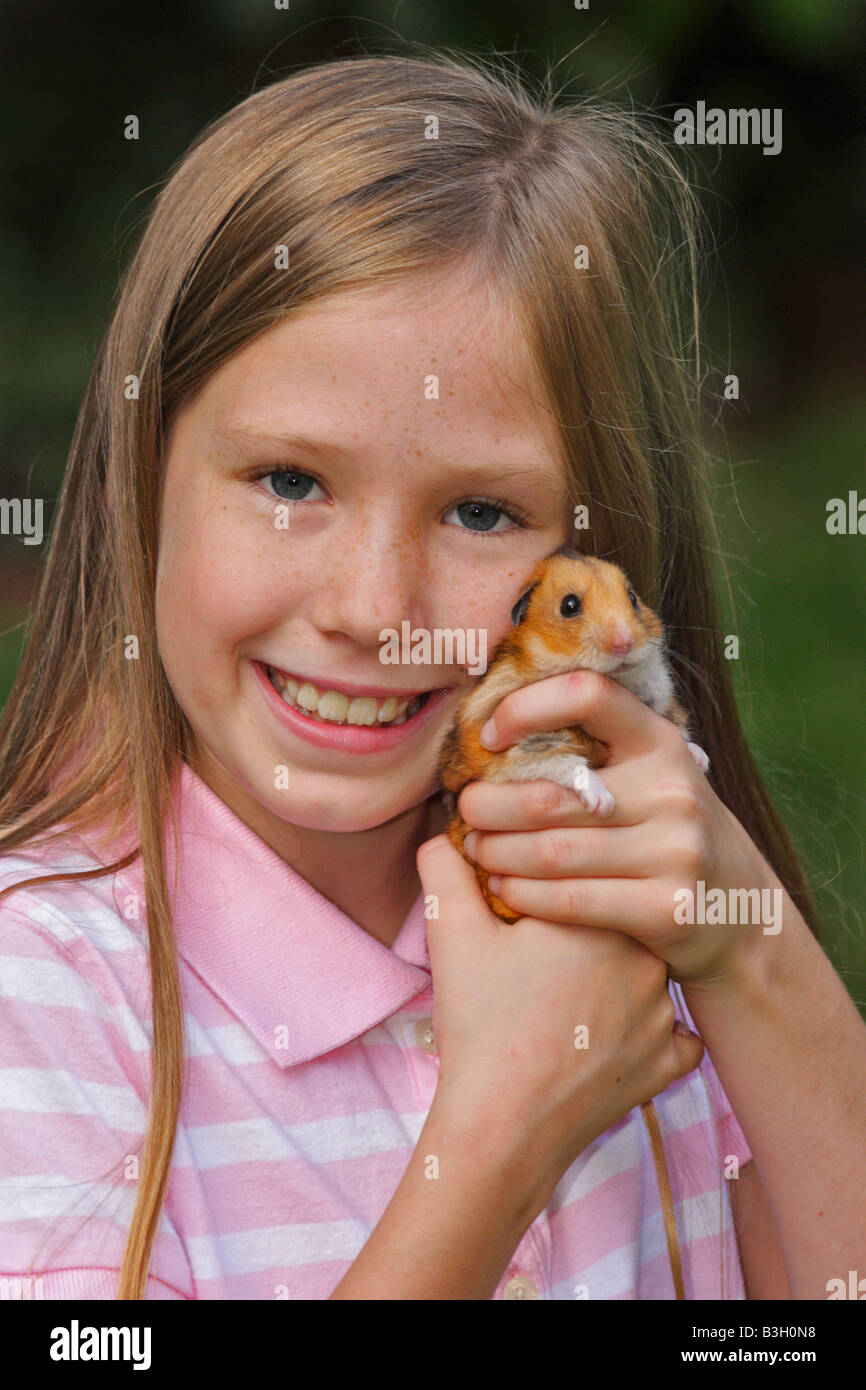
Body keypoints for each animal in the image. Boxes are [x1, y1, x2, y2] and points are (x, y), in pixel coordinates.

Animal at [438, 547, 709, 924]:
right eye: (569, 605)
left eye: (633, 597)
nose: (624, 642)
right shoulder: (516, 752)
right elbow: (568, 765)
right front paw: (603, 805)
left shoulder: (659, 702)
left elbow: (678, 729)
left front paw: (701, 761)